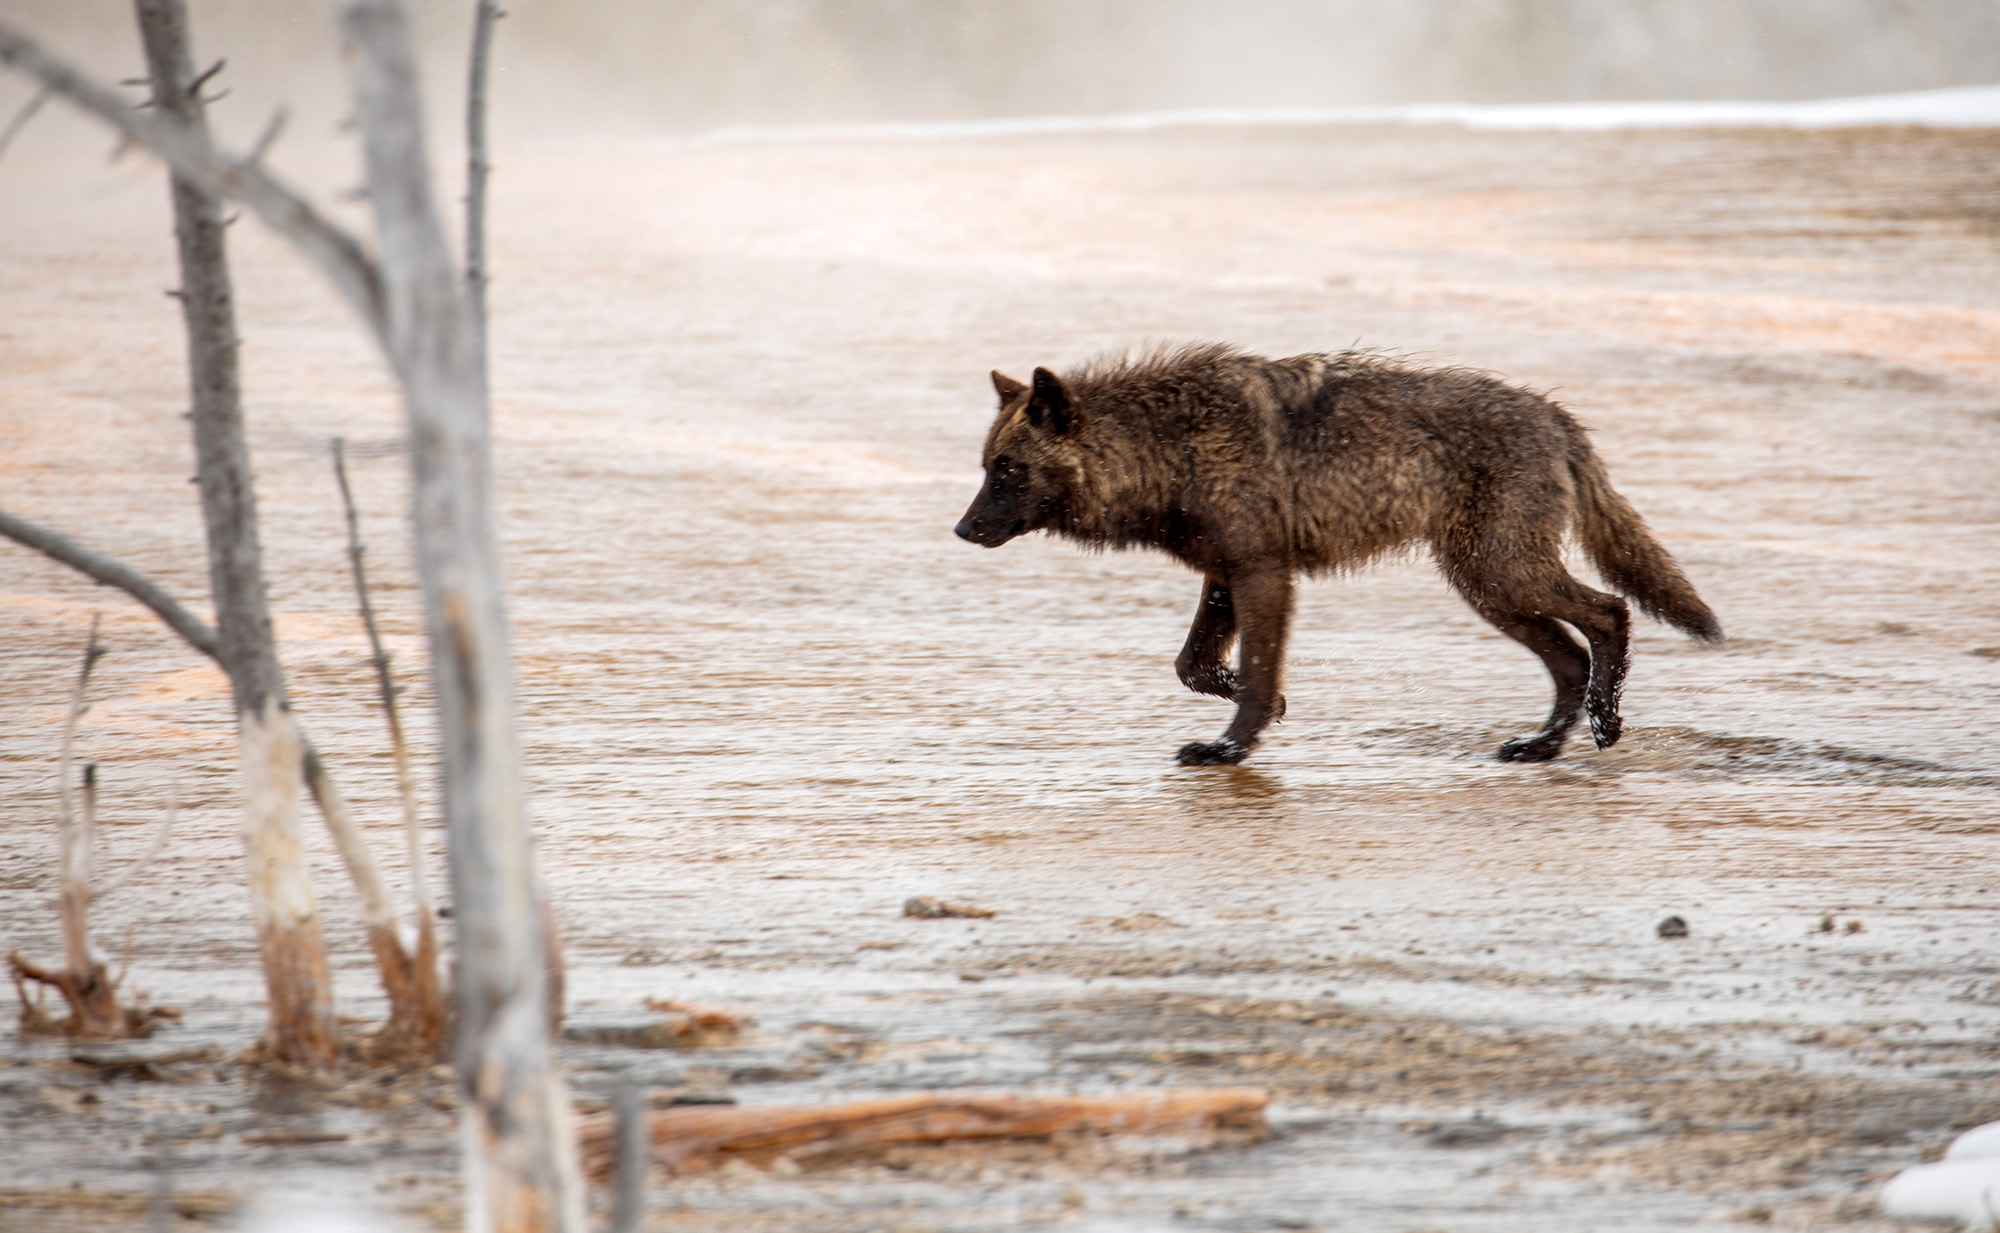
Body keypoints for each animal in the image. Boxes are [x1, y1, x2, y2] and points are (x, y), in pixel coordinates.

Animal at [954, 344, 1721, 766]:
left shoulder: (1264, 574)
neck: (1167, 448)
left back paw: (1605, 724)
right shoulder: (1226, 576)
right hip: (1488, 588)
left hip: (1502, 576)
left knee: (1610, 613)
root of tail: (1557, 415)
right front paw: (1266, 708)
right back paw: (1541, 746)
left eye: (1009, 471)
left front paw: (1230, 748)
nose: (961, 530)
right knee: (1571, 657)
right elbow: (1196, 665)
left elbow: (1250, 673)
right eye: (986, 467)